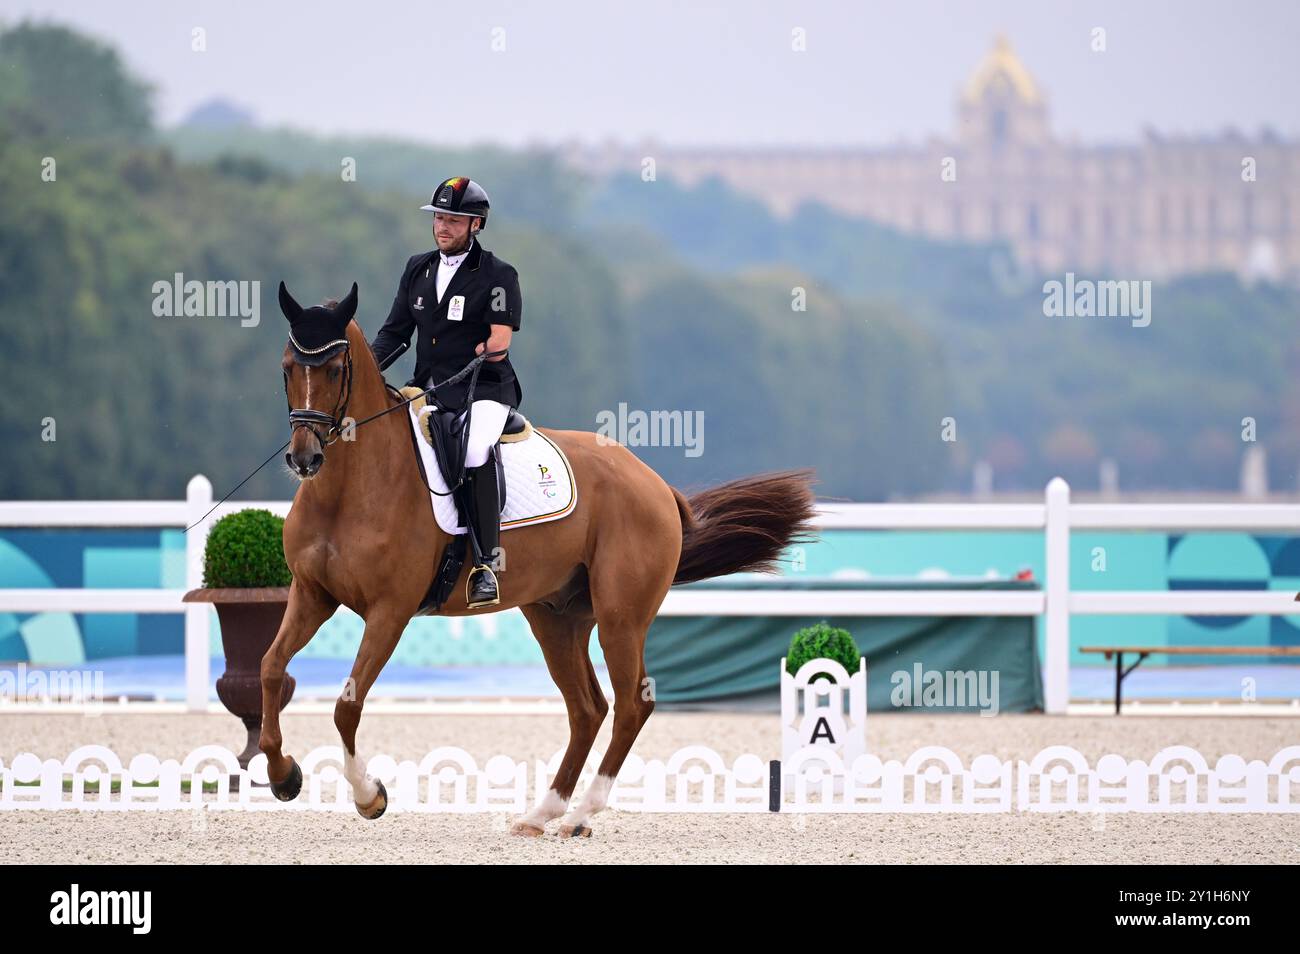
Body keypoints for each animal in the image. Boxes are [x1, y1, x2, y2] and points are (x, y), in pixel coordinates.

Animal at [263, 282, 816, 836]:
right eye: (287, 367)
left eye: (335, 369)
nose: (304, 458)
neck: (345, 491)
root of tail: (653, 481)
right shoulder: (312, 595)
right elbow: (271, 668)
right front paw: (283, 775)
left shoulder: (389, 612)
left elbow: (346, 705)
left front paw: (368, 795)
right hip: (557, 617)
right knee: (587, 708)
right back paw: (543, 812)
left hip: (621, 616)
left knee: (630, 705)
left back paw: (582, 812)